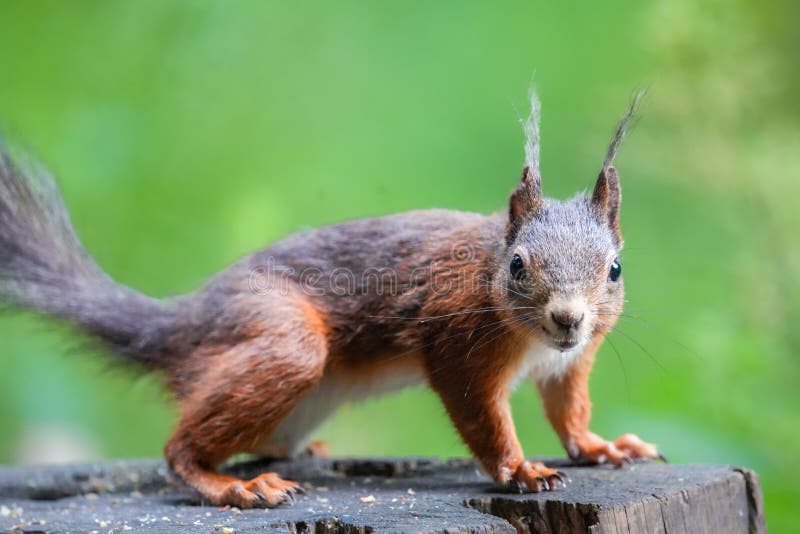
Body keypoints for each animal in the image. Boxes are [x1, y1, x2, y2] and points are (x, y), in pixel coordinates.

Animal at [0, 89, 662, 508]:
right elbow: (481, 414)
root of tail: (182, 321)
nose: (568, 319)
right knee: (177, 450)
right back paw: (234, 486)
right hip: (282, 340)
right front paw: (519, 468)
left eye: (615, 269)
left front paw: (600, 447)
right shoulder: (453, 338)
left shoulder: (570, 362)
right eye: (518, 265)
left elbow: (568, 409)